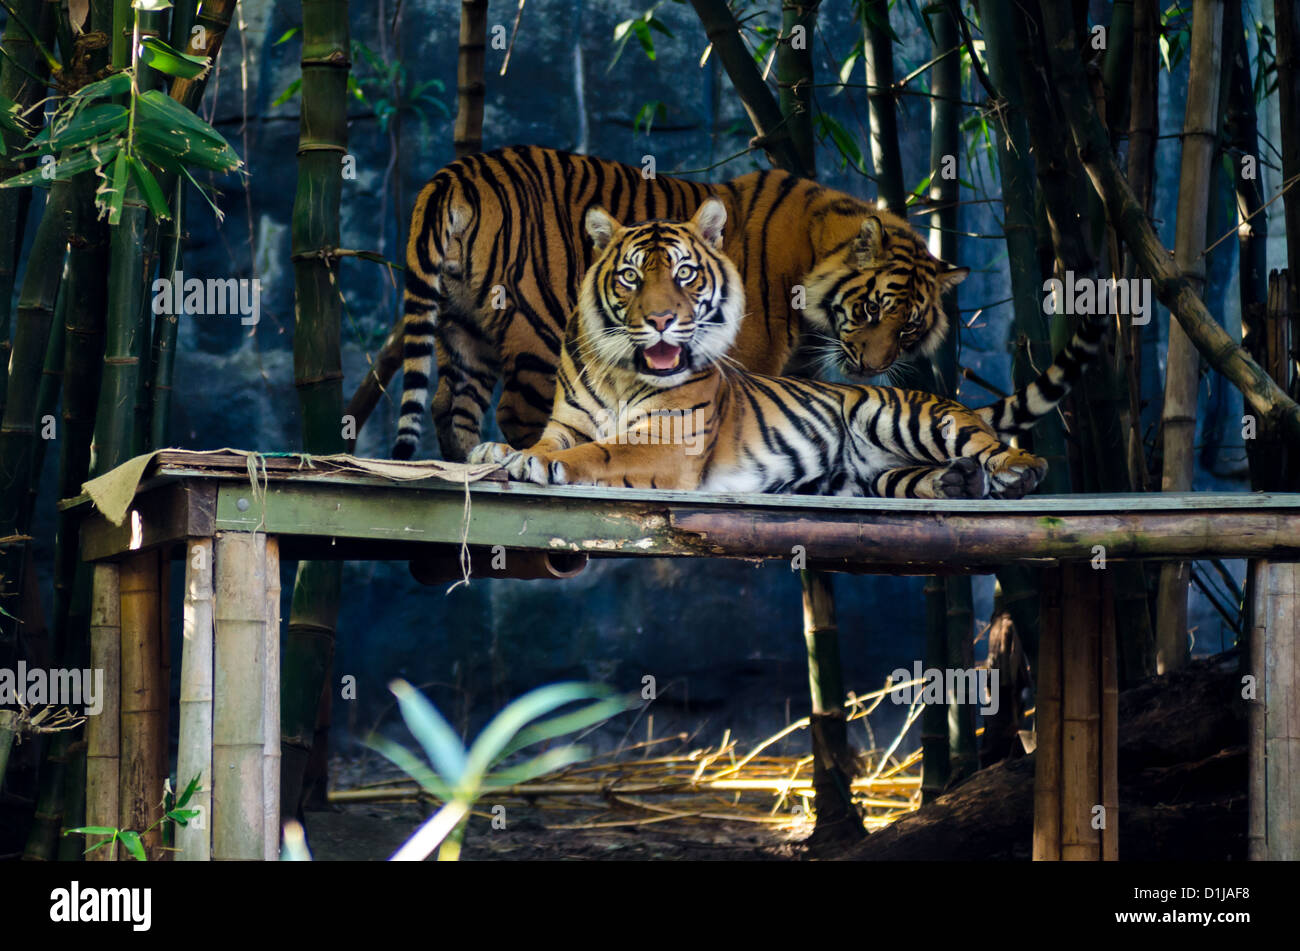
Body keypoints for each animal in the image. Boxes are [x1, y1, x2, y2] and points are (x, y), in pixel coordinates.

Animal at [393, 145, 968, 462]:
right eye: (871, 310)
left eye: (909, 329)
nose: (872, 367)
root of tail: (458, 172)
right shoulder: (749, 356)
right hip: (534, 330)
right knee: (523, 412)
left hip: (461, 326)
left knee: (448, 406)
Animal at [466, 199, 1106, 498]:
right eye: (630, 277)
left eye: (684, 274)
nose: (662, 321)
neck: (624, 371)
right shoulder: (567, 423)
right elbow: (549, 440)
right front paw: (499, 452)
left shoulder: (668, 442)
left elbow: (601, 453)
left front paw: (529, 462)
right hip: (877, 476)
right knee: (926, 476)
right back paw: (956, 484)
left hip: (904, 415)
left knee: (990, 444)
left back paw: (1016, 472)